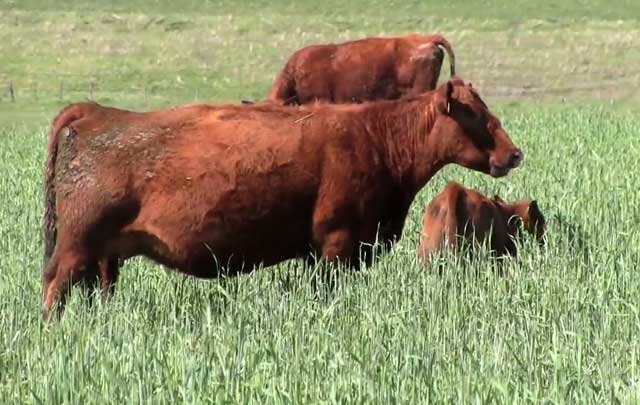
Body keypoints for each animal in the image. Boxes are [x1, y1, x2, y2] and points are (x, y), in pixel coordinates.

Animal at [40, 77, 524, 318]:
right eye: (473, 114)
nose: (514, 153)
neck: (376, 137)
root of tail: (95, 113)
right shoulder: (337, 246)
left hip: (102, 256)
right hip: (75, 249)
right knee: (54, 288)